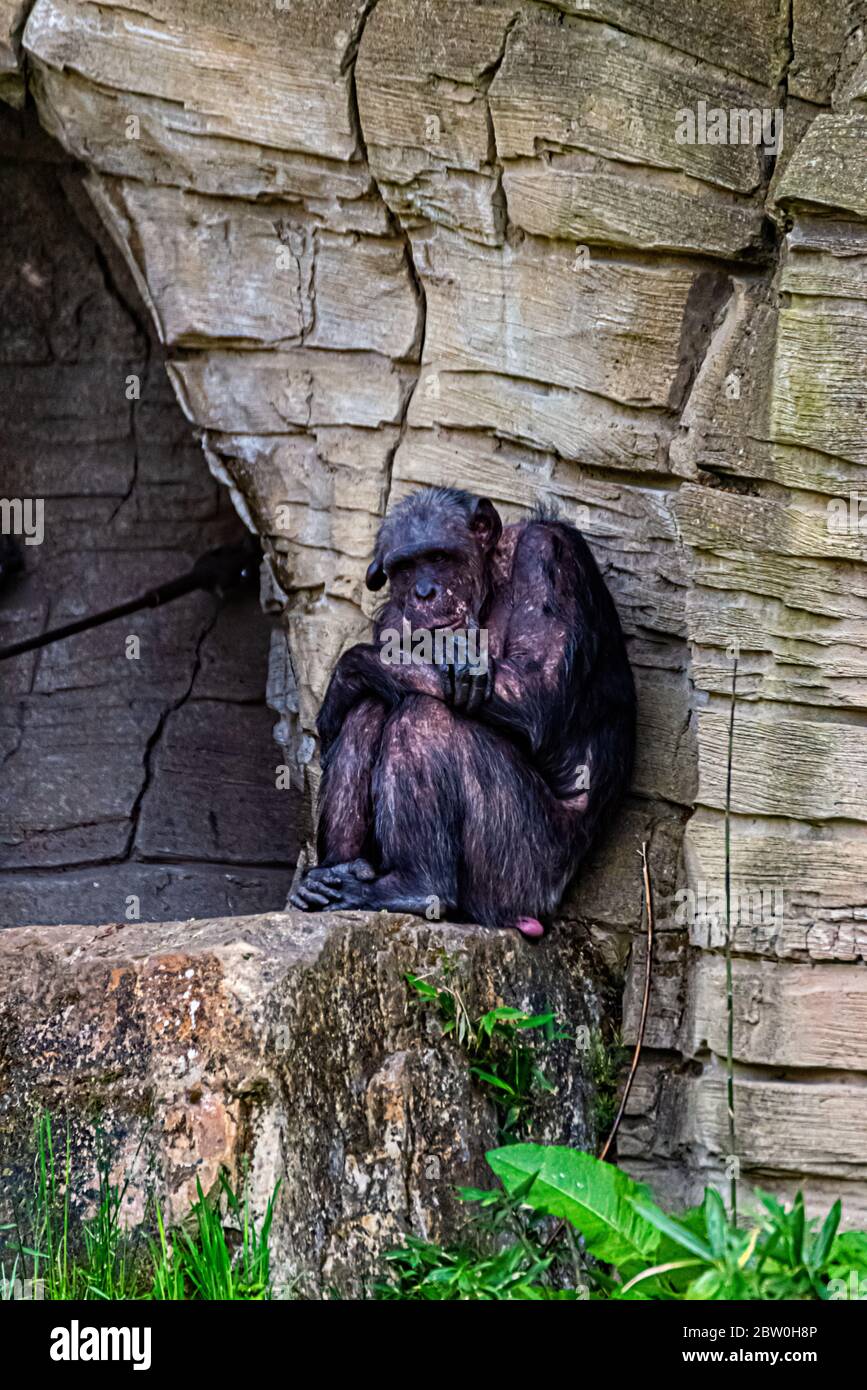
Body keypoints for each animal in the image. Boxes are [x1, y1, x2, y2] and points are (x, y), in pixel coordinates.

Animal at [289, 488, 635, 939]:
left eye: (439, 557)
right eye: (405, 567)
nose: (424, 592)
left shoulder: (548, 556)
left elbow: (534, 686)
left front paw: (352, 670)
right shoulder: (391, 615)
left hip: (521, 865)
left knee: (425, 714)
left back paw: (417, 887)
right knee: (371, 704)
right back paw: (330, 877)